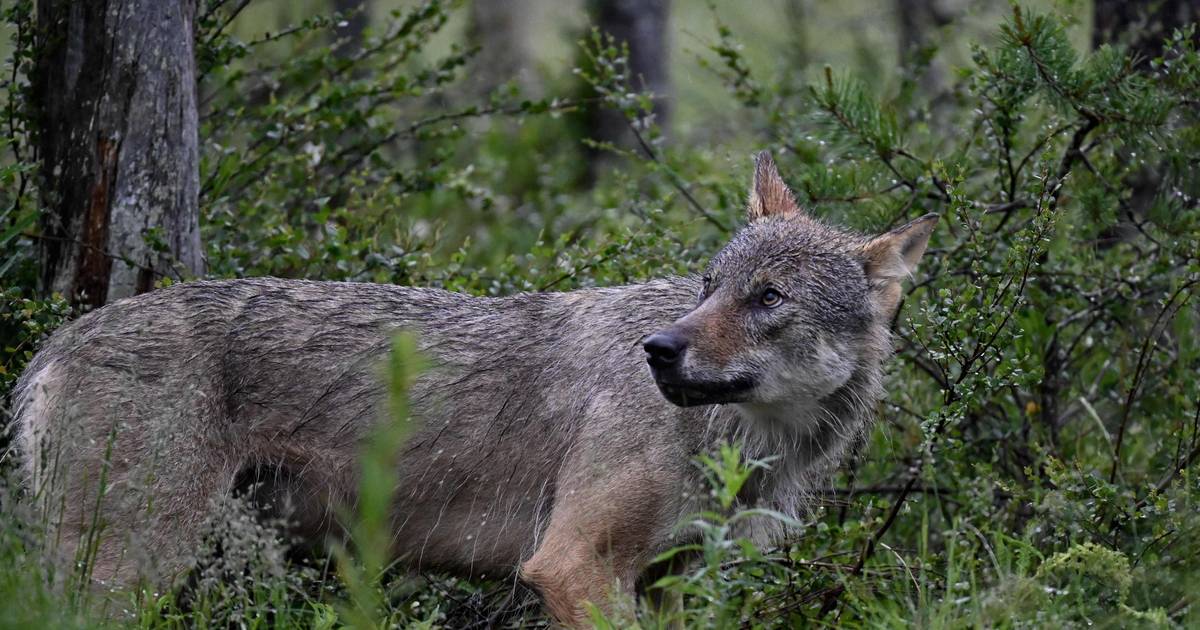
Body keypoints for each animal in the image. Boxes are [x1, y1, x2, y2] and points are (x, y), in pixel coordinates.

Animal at [12, 153, 935, 625]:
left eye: (766, 298)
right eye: (709, 287)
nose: (659, 350)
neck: (751, 447)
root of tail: (59, 339)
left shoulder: (672, 584)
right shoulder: (573, 566)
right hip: (128, 574)